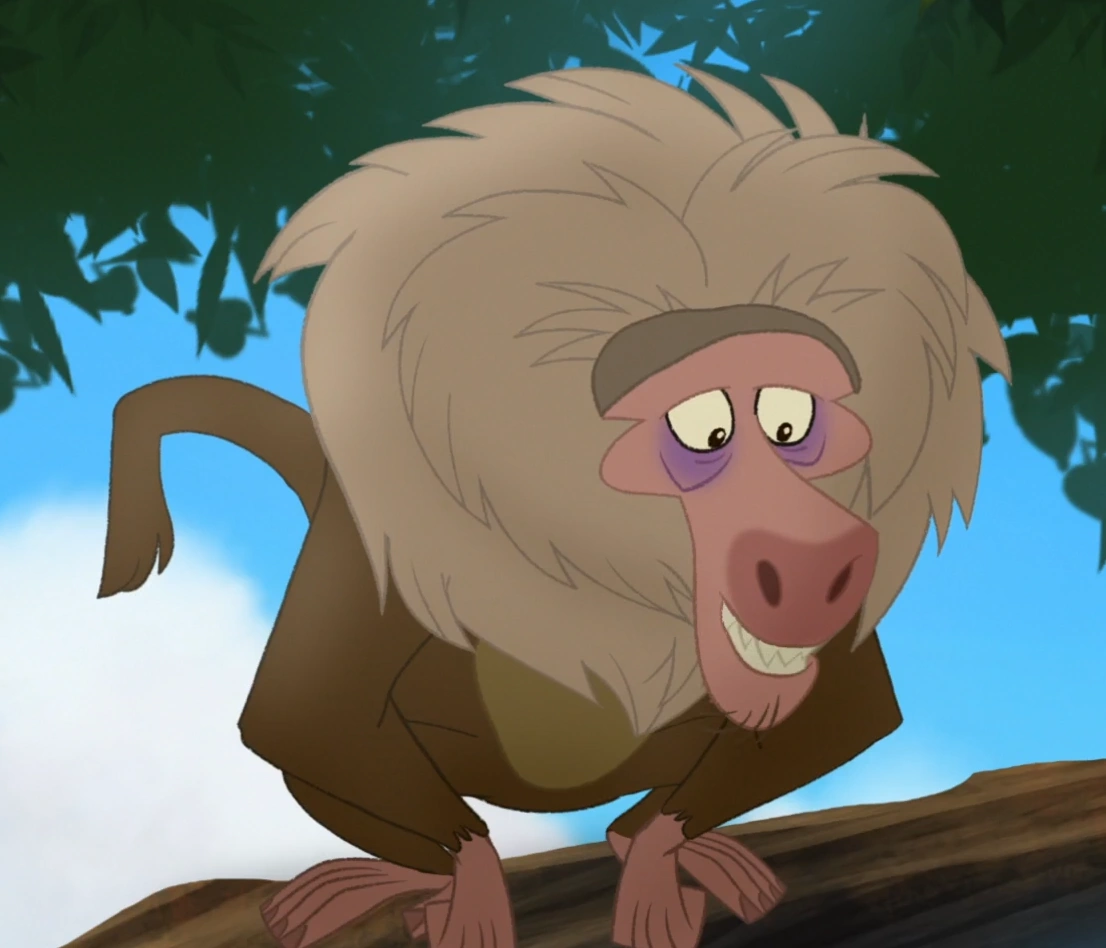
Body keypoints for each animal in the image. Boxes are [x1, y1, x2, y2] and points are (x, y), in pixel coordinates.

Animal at [97, 64, 1009, 948]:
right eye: (706, 429)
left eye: (792, 423)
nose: (817, 563)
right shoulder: (364, 555)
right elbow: (304, 722)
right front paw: (471, 886)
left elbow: (851, 718)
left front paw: (652, 858)